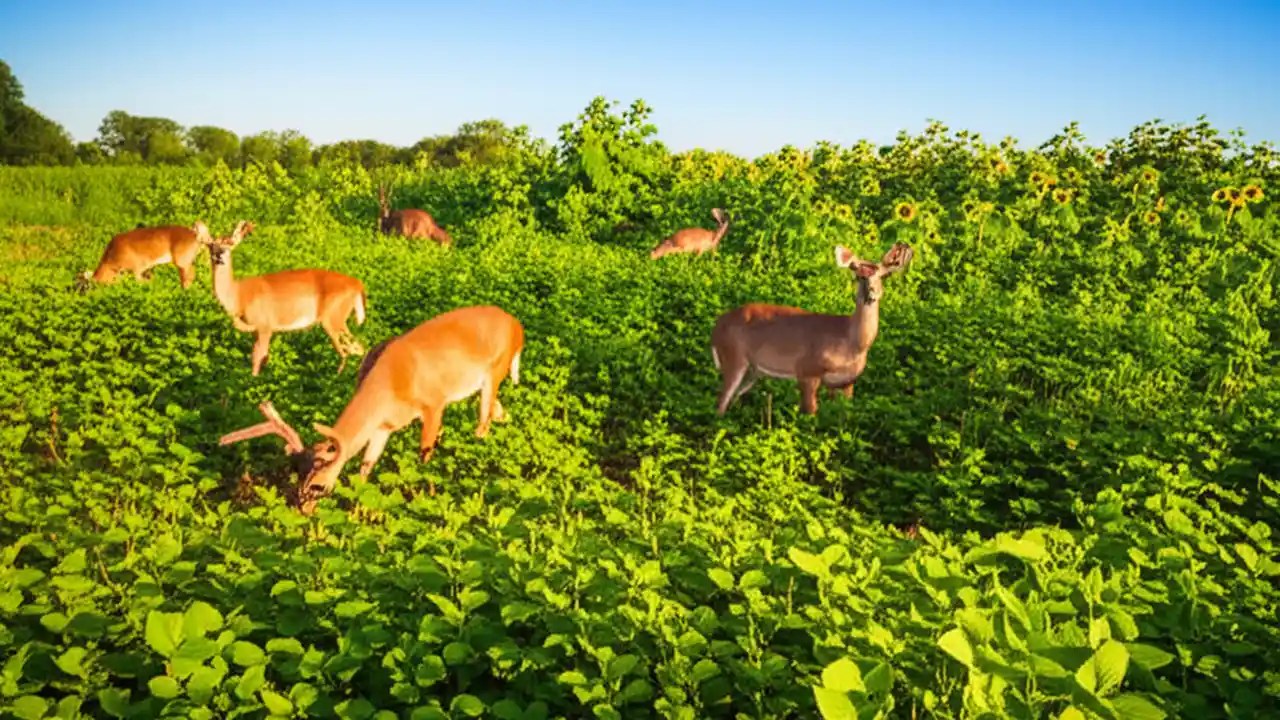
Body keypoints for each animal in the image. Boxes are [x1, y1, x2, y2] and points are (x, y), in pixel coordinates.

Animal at [194, 220, 368, 376]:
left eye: (230, 244)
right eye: (211, 245)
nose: (219, 255)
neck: (238, 296)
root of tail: (358, 284)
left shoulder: (265, 324)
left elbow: (259, 358)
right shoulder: (255, 330)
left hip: (333, 316)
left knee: (352, 350)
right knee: (356, 349)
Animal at [219, 305, 525, 513]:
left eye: (319, 485)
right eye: (297, 473)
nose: (303, 510)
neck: (390, 382)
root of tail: (516, 324)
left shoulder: (434, 404)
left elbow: (424, 457)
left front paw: (423, 496)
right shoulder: (383, 425)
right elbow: (365, 468)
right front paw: (357, 512)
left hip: (495, 371)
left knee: (483, 424)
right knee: (496, 413)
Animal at [710, 242, 913, 416]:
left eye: (884, 275)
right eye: (857, 276)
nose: (870, 293)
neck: (852, 343)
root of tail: (717, 326)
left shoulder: (847, 382)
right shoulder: (808, 371)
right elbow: (810, 414)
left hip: (752, 370)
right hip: (734, 357)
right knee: (721, 401)